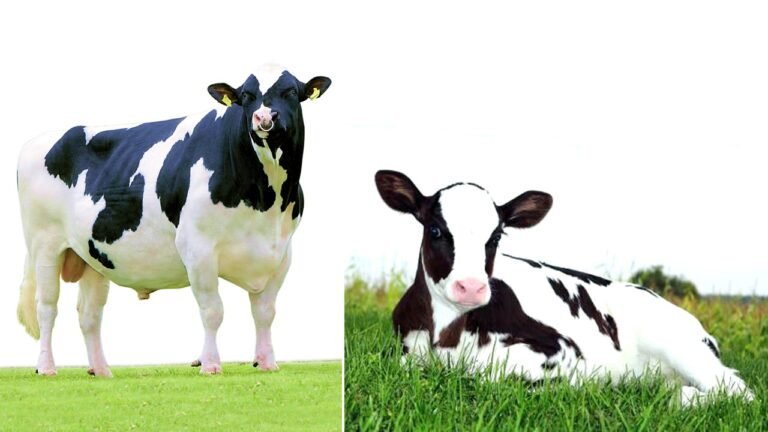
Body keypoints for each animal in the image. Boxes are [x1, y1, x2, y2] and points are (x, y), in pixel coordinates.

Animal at [16, 65, 331, 377]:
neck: (265, 201)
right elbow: (213, 311)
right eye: (246, 95)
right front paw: (211, 364)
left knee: (89, 313)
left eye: (291, 92)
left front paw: (267, 362)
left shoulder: (281, 252)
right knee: (47, 307)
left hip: (91, 254)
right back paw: (46, 367)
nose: (264, 117)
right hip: (44, 243)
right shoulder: (197, 246)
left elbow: (265, 312)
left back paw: (102, 370)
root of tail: (35, 142)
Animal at [374, 170, 754, 406]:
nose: (471, 288)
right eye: (435, 229)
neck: (446, 335)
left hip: (678, 344)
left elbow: (489, 373)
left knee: (736, 389)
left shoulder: (563, 349)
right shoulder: (403, 349)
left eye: (496, 237)